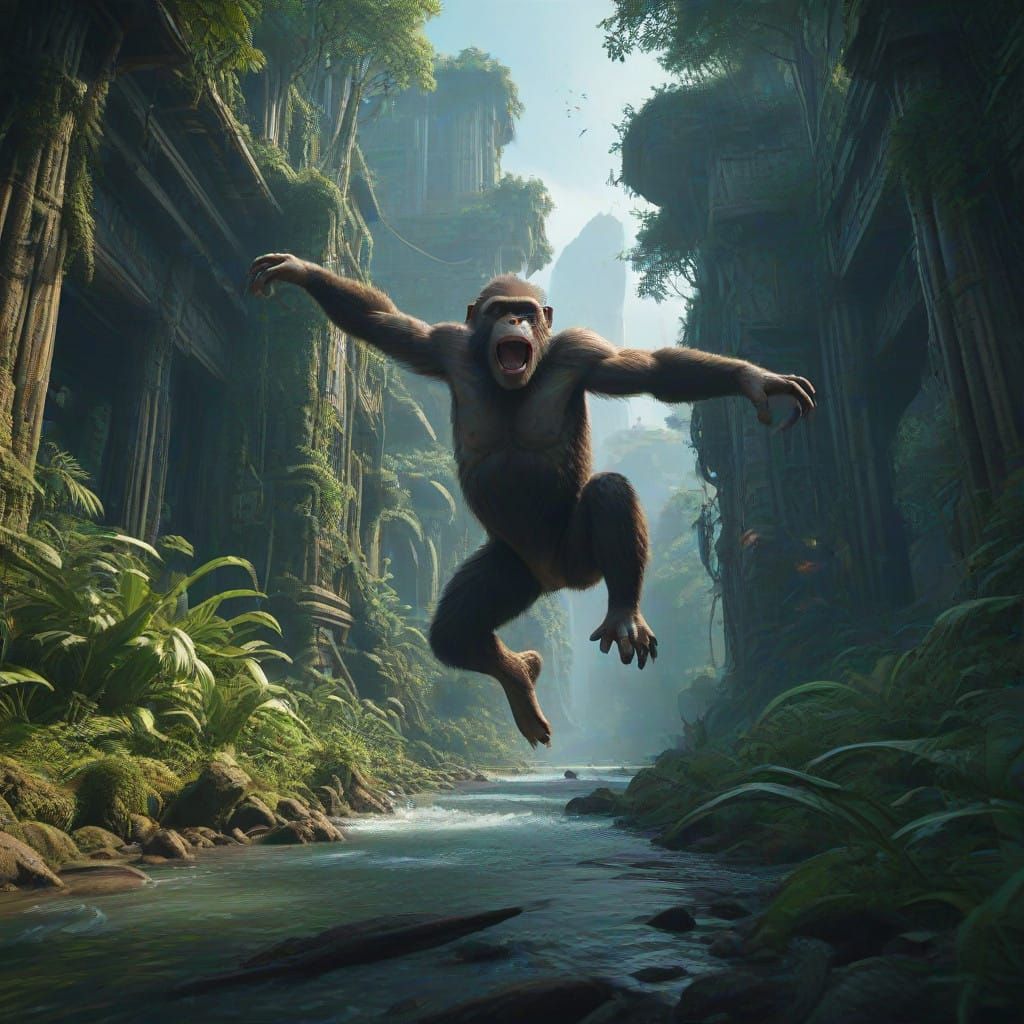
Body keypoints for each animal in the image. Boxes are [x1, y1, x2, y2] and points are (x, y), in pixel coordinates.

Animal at [247, 254, 816, 747]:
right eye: (500, 310)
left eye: (524, 310)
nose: (516, 322)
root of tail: (557, 579)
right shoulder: (444, 345)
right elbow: (381, 320)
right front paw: (299, 270)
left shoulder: (586, 353)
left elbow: (654, 369)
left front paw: (754, 378)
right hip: (511, 569)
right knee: (453, 632)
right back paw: (519, 678)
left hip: (579, 558)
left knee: (609, 491)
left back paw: (624, 611)